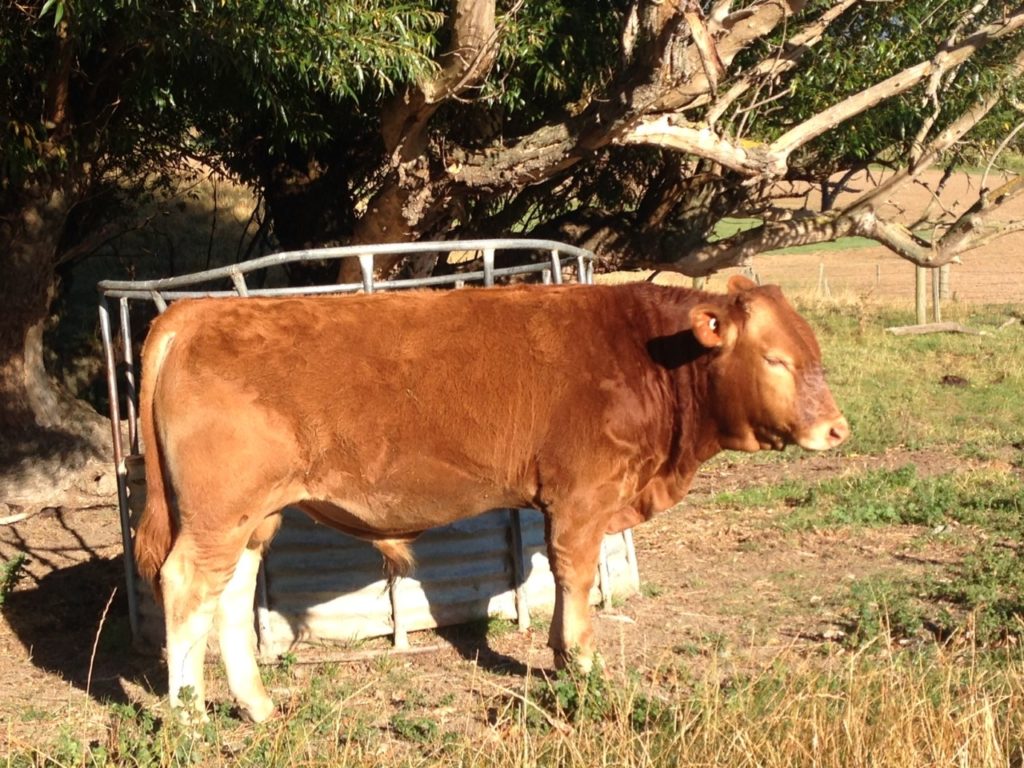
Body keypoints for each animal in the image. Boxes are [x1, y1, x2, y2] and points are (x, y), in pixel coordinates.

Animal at [133, 274, 848, 722]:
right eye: (776, 359)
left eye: (813, 349)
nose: (836, 429)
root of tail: (197, 312)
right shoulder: (582, 498)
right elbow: (574, 578)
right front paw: (582, 667)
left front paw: (562, 658)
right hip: (218, 513)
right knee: (186, 585)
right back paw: (190, 716)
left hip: (253, 515)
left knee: (229, 594)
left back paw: (256, 706)